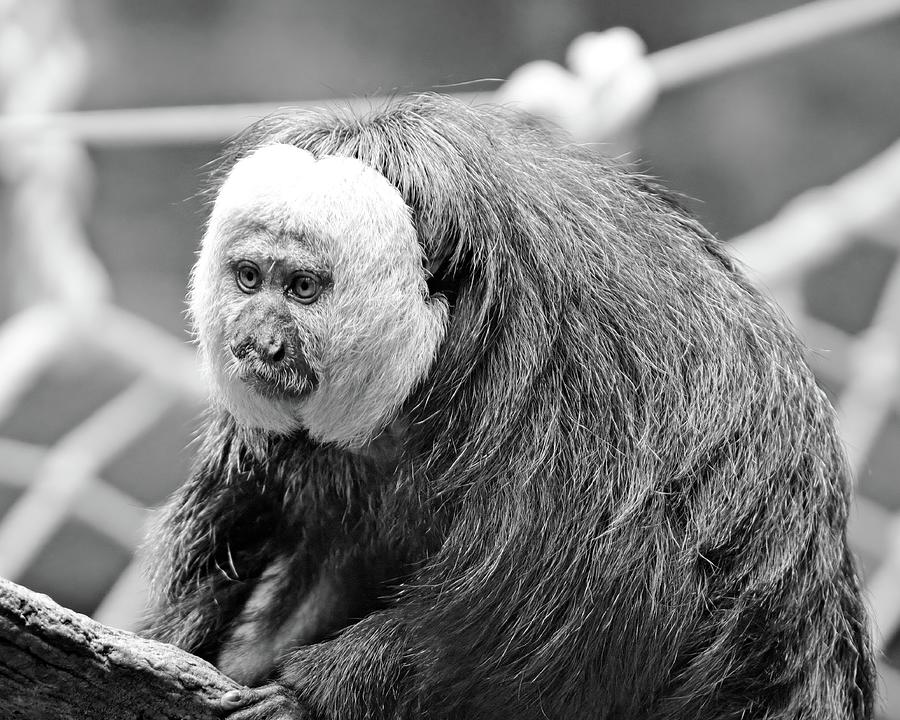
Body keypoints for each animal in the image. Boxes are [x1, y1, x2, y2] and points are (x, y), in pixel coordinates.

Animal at [143, 94, 875, 720]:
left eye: (301, 288)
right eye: (248, 278)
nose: (258, 344)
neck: (442, 352)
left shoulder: (574, 384)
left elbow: (581, 596)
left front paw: (310, 692)